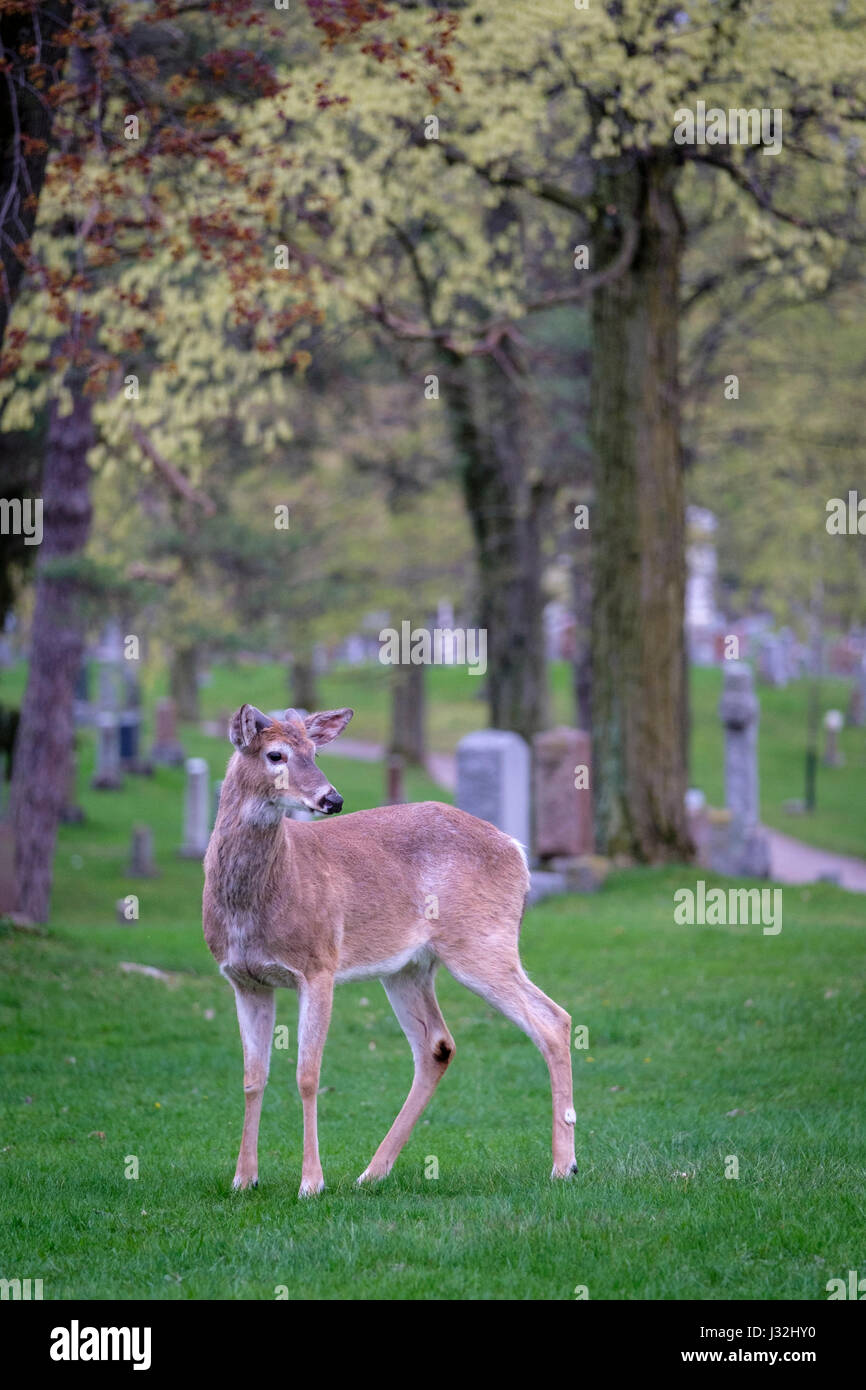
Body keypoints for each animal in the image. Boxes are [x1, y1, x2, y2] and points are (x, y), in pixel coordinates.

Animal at [203, 703, 578, 1197]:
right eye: (275, 754)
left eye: (315, 751)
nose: (332, 799)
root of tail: (517, 849)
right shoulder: (244, 979)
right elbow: (252, 1077)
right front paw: (243, 1179)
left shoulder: (319, 963)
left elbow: (308, 1075)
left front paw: (311, 1182)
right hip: (408, 967)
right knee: (437, 1045)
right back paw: (372, 1172)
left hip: (482, 940)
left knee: (554, 1020)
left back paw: (564, 1166)